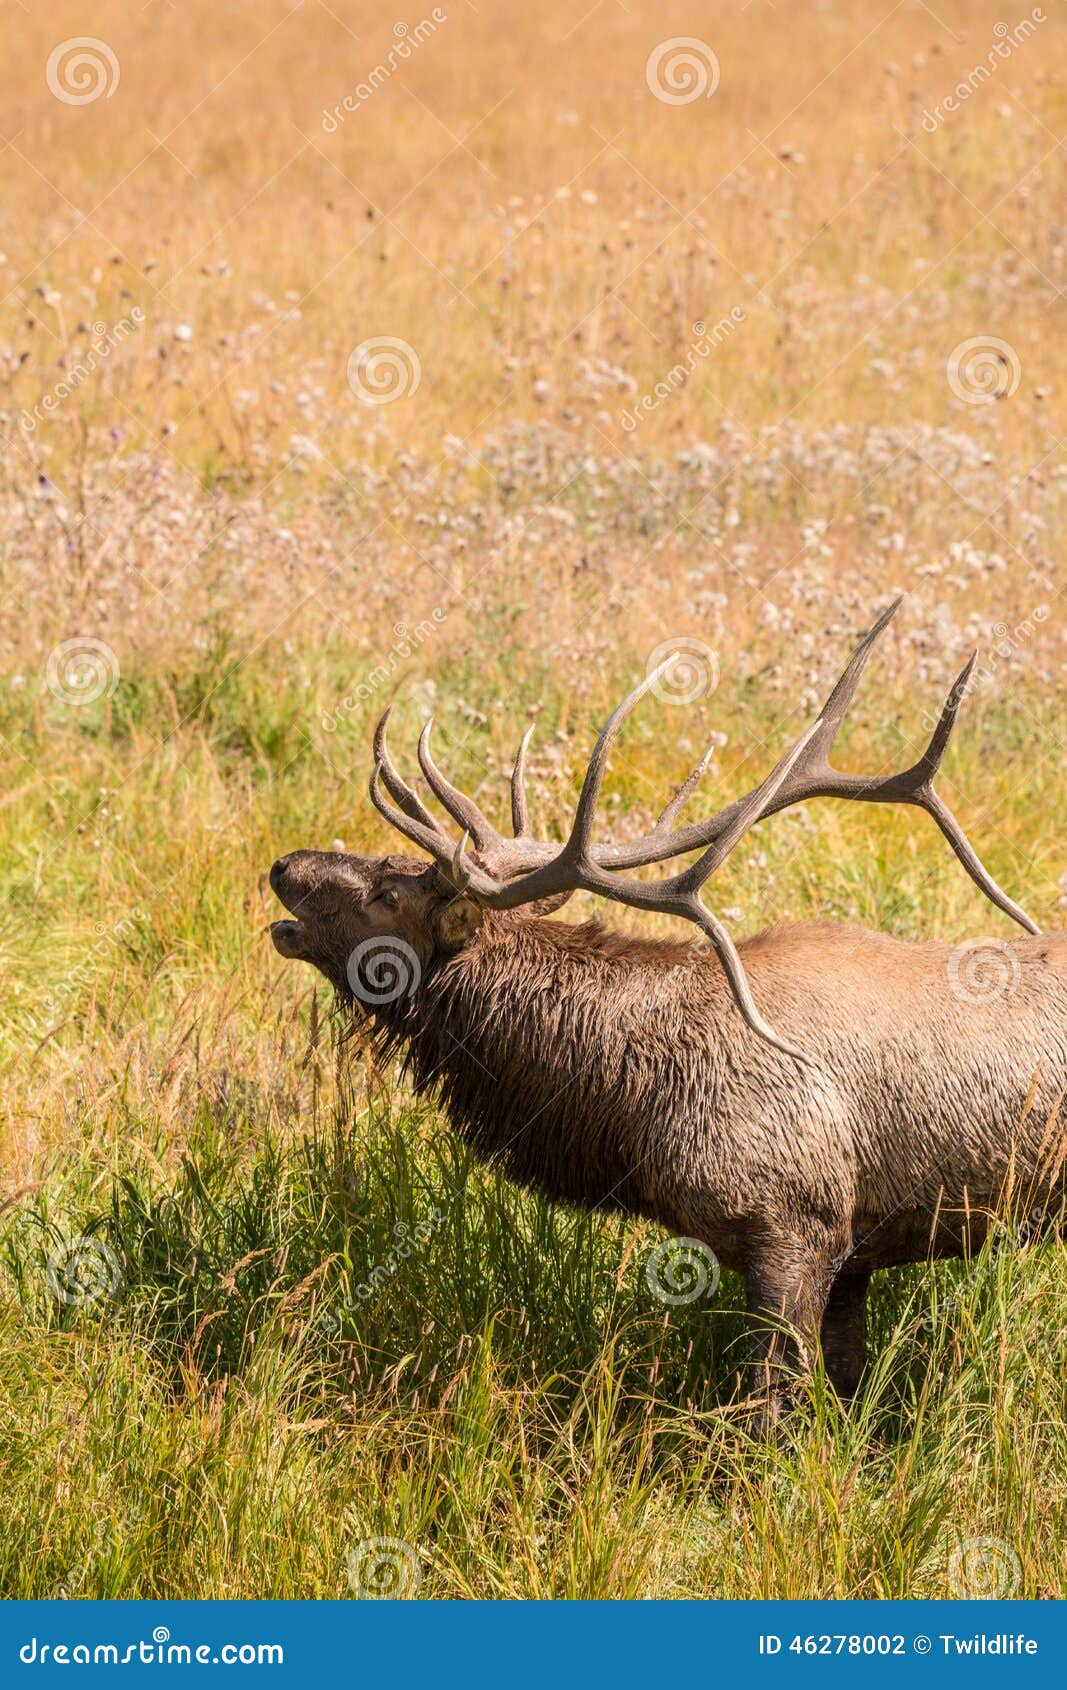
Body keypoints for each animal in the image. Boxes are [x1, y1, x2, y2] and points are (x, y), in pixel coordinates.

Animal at [268, 599, 1067, 1425]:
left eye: (387, 893)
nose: (282, 865)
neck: (627, 1112)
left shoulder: (793, 1224)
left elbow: (773, 1404)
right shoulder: (854, 1249)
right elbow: (843, 1394)